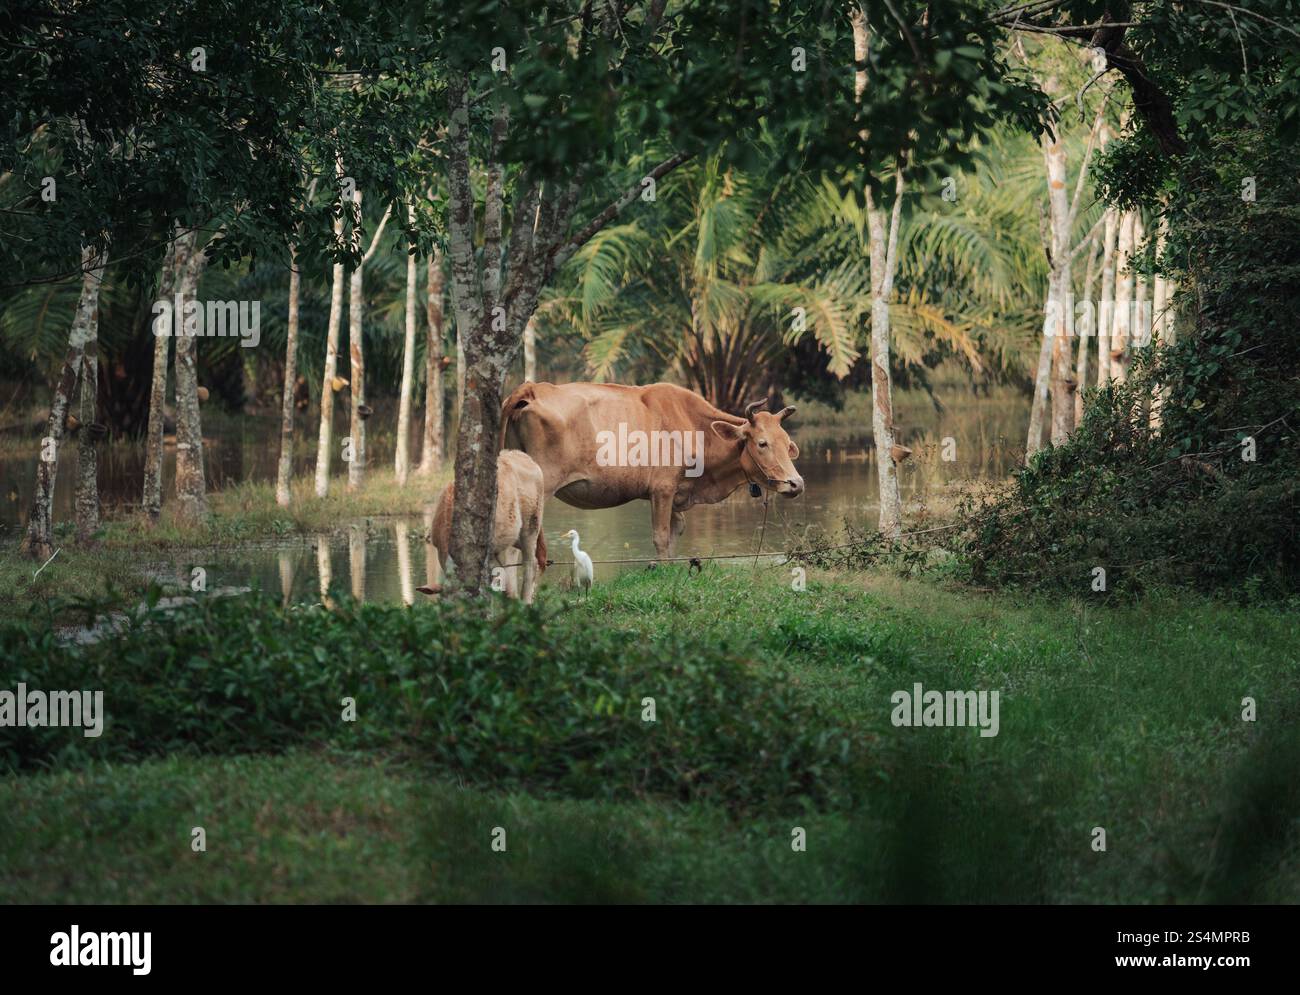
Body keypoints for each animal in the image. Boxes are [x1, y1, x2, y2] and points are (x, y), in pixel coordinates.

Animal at [501, 381, 803, 560]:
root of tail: (531, 389)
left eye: (787, 443)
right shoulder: (662, 489)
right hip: (542, 488)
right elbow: (659, 537)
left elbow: (675, 532)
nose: (796, 483)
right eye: (762, 443)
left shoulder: (677, 494)